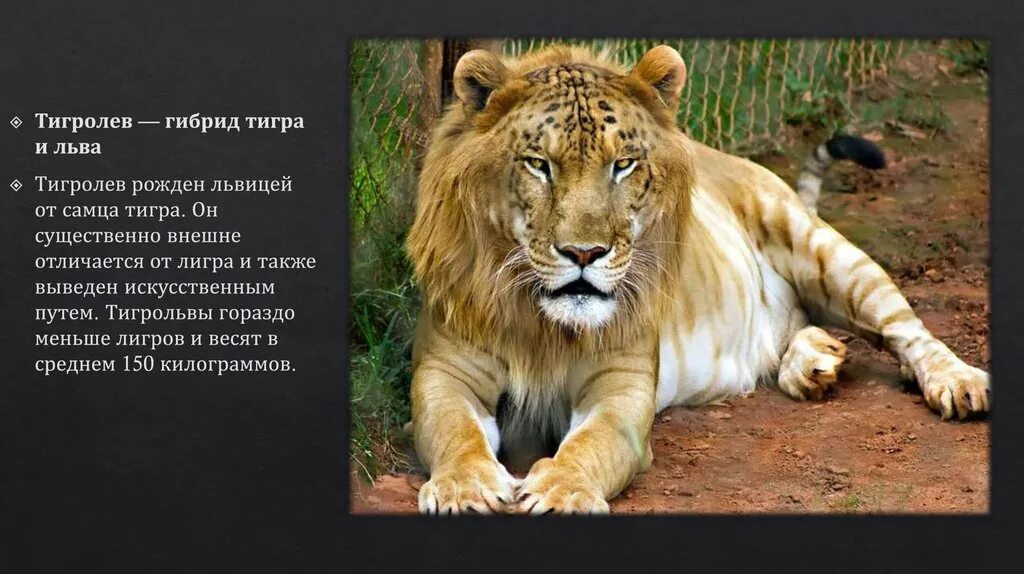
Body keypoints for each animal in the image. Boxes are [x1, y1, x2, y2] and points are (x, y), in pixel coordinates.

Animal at [404, 44, 990, 514]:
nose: (584, 253)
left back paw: (957, 383)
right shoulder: (445, 374)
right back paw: (814, 363)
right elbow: (456, 432)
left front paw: (562, 490)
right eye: (537, 164)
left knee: (905, 329)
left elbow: (591, 443)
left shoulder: (621, 387)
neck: (542, 322)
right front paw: (463, 488)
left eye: (624, 165)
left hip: (819, 246)